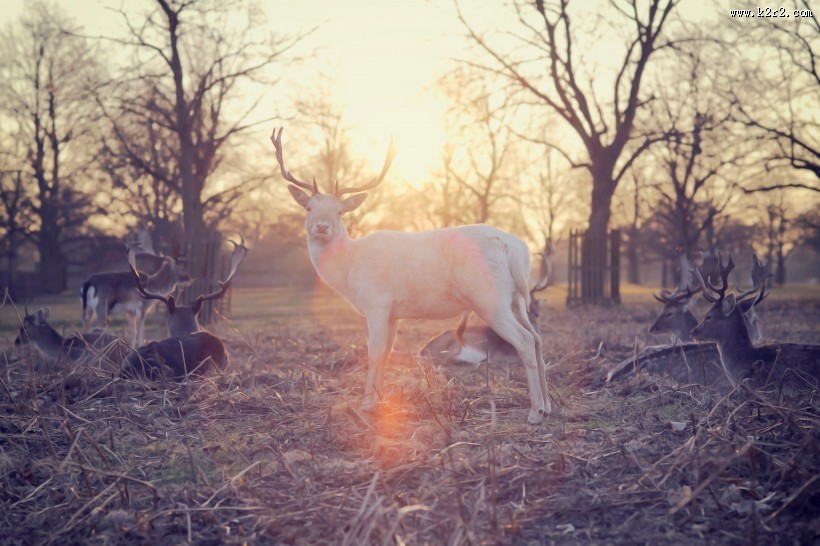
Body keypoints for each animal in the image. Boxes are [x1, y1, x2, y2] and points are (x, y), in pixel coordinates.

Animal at [421, 240, 553, 366]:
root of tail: (423, 350)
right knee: (446, 359)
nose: (536, 314)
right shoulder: (500, 356)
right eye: (527, 308)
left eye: (536, 303)